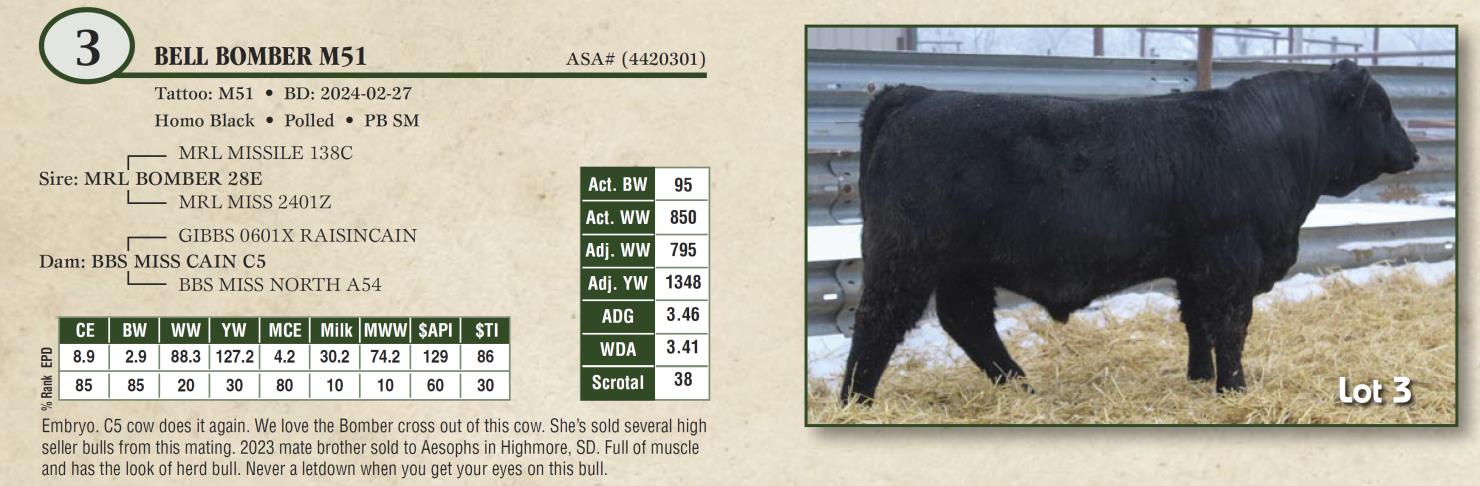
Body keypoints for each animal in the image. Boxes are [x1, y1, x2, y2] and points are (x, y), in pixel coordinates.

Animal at [839, 60, 1419, 404]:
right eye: (1381, 109)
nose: (1413, 153)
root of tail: (913, 94)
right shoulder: (1231, 259)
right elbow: (1231, 325)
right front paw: (1233, 388)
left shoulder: (1195, 266)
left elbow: (1197, 323)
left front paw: (1198, 378)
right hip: (907, 256)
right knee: (877, 322)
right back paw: (854, 401)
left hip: (963, 266)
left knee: (968, 323)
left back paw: (1021, 387)